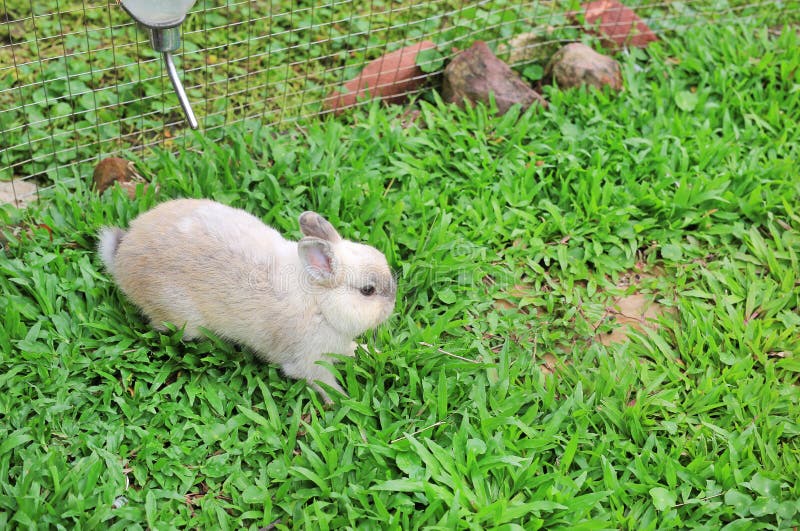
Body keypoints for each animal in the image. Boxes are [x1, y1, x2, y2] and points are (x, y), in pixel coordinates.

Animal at [98, 198, 396, 403]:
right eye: (368, 291)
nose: (394, 297)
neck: (320, 303)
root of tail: (121, 257)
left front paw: (374, 353)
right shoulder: (309, 363)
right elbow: (324, 383)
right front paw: (344, 402)